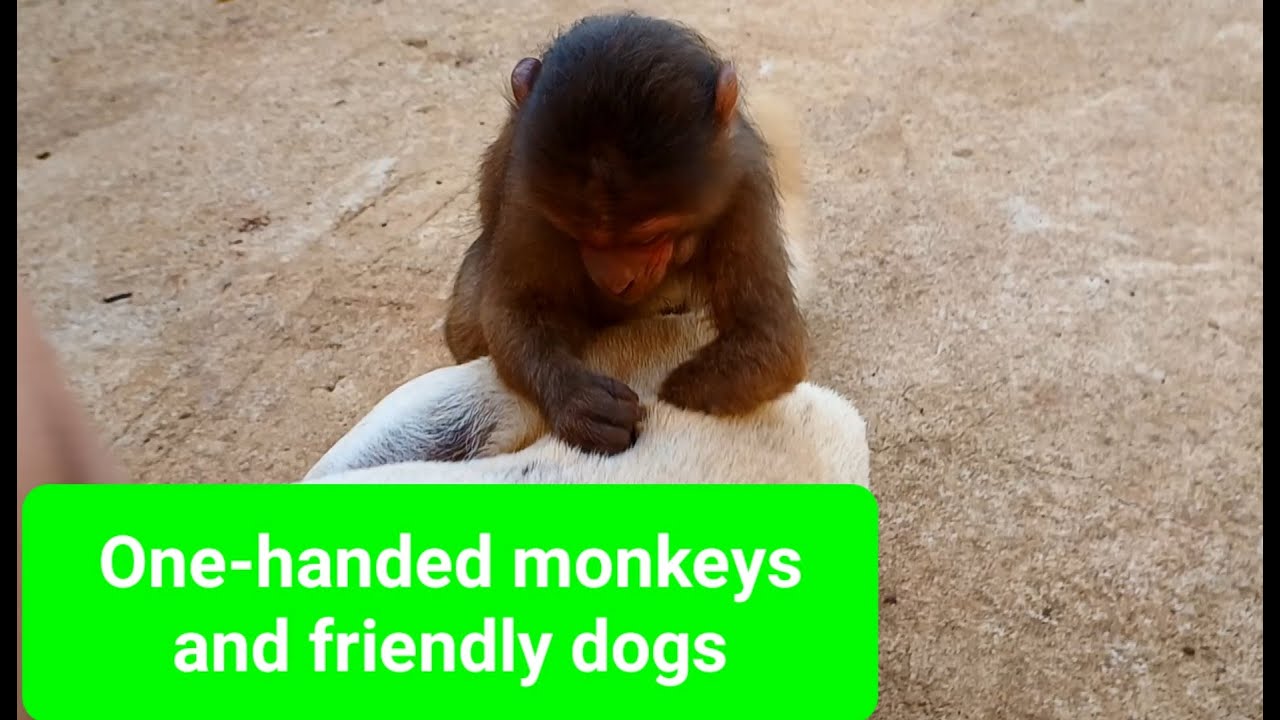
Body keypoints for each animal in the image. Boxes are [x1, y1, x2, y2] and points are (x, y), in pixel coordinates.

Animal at [443, 13, 808, 456]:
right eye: (579, 233)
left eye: (649, 237)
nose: (617, 280)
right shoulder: (530, 190)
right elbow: (511, 309)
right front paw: (578, 401)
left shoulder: (744, 182)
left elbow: (771, 336)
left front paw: (674, 396)